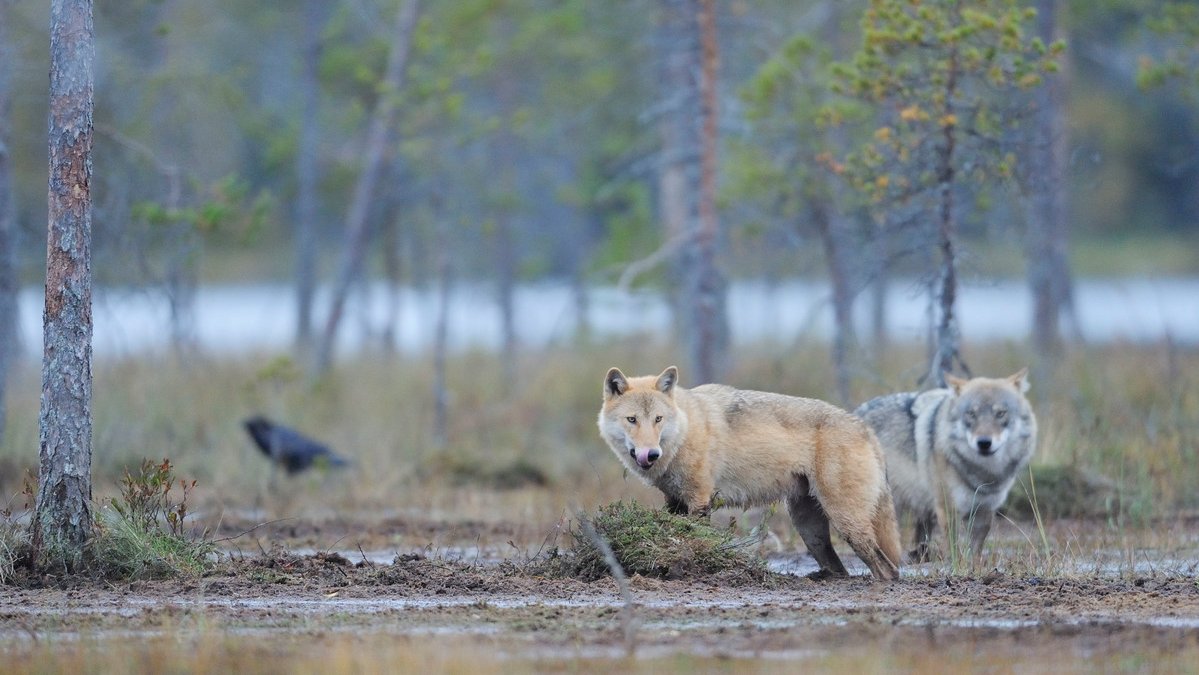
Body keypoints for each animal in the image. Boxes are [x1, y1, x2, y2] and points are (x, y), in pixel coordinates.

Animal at [598, 366, 902, 581]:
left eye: (658, 419)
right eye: (632, 420)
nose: (650, 454)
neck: (686, 428)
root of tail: (864, 427)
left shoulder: (699, 500)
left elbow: (692, 542)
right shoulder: (674, 501)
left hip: (846, 522)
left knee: (888, 570)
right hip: (810, 529)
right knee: (842, 569)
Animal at [854, 369, 1037, 562]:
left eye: (1001, 413)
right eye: (971, 414)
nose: (984, 443)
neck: (982, 473)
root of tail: (855, 412)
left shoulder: (985, 510)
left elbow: (976, 551)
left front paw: (974, 566)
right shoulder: (947, 508)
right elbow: (953, 548)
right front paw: (956, 566)